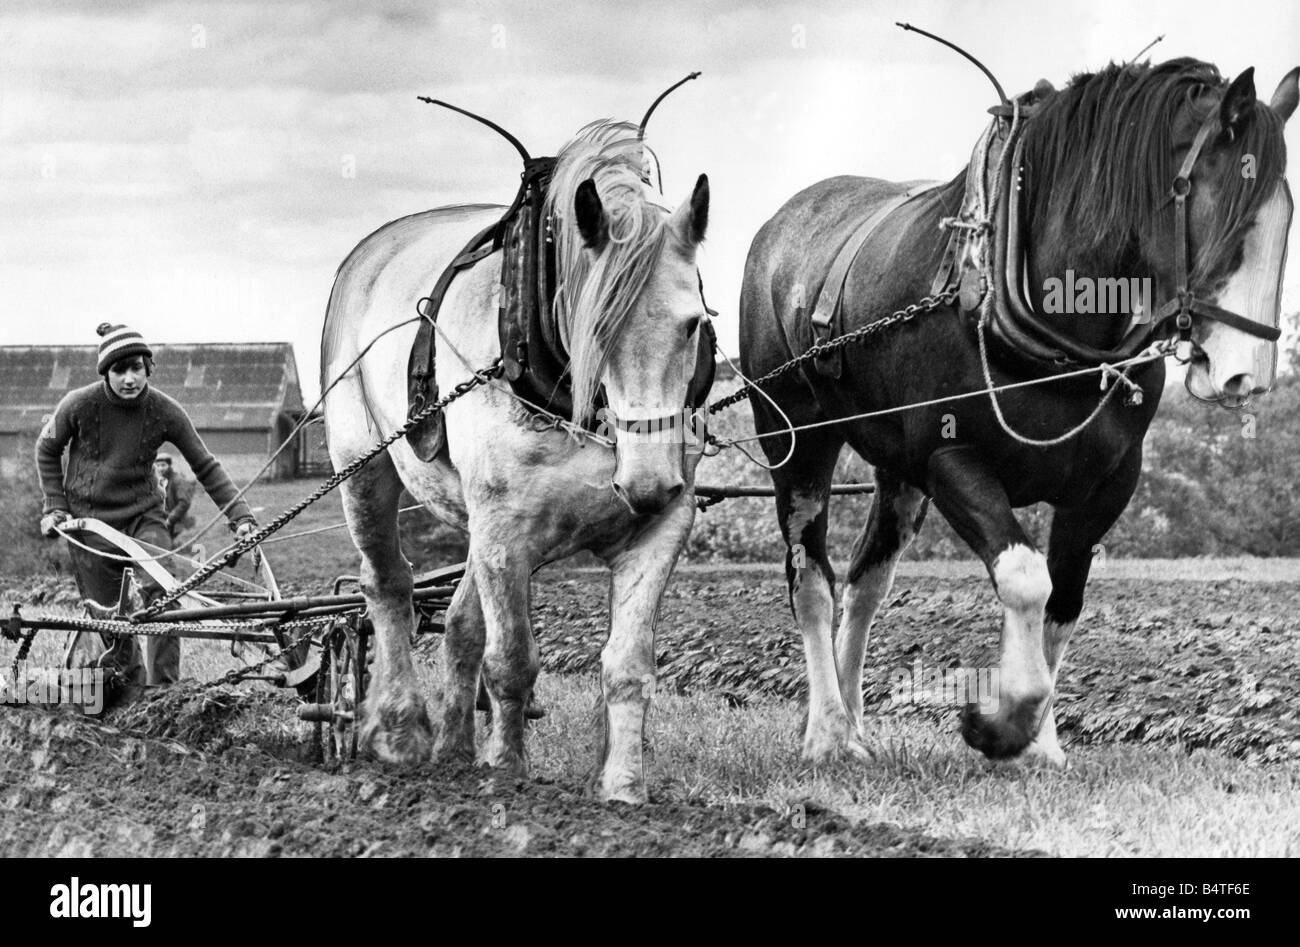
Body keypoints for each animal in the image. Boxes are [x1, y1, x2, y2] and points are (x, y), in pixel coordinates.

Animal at [322, 120, 711, 803]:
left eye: (692, 325)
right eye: (594, 326)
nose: (646, 482)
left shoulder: (660, 528)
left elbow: (629, 664)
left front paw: (624, 786)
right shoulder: (505, 533)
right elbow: (511, 661)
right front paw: (505, 771)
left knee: (457, 626)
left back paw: (452, 750)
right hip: (363, 470)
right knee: (388, 584)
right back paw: (400, 730)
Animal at [738, 58, 1296, 766]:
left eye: (1284, 215)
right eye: (1224, 208)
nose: (1246, 374)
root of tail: (783, 225)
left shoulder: (1108, 484)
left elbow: (1064, 600)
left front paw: (1042, 746)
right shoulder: (951, 458)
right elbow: (1028, 578)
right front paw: (998, 723)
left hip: (898, 472)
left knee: (866, 584)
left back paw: (856, 724)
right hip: (796, 440)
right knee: (811, 578)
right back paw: (828, 732)